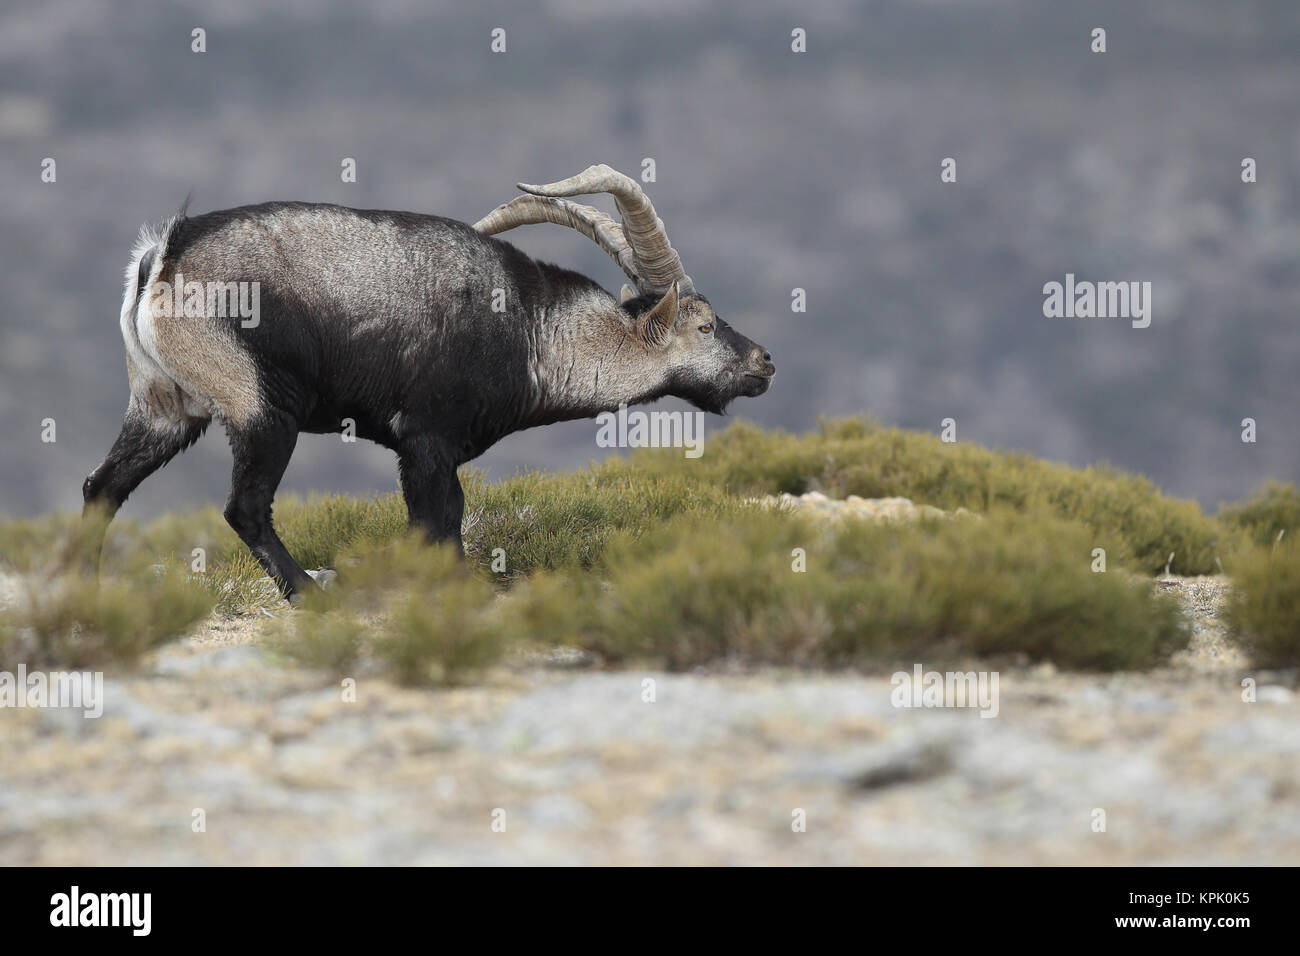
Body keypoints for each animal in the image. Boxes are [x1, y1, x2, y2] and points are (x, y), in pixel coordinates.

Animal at [82, 165, 775, 599]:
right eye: (705, 325)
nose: (764, 362)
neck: (531, 330)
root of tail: (163, 256)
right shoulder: (425, 440)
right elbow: (433, 525)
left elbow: (449, 520)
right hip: (260, 407)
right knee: (244, 507)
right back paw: (309, 594)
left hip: (166, 403)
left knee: (102, 487)